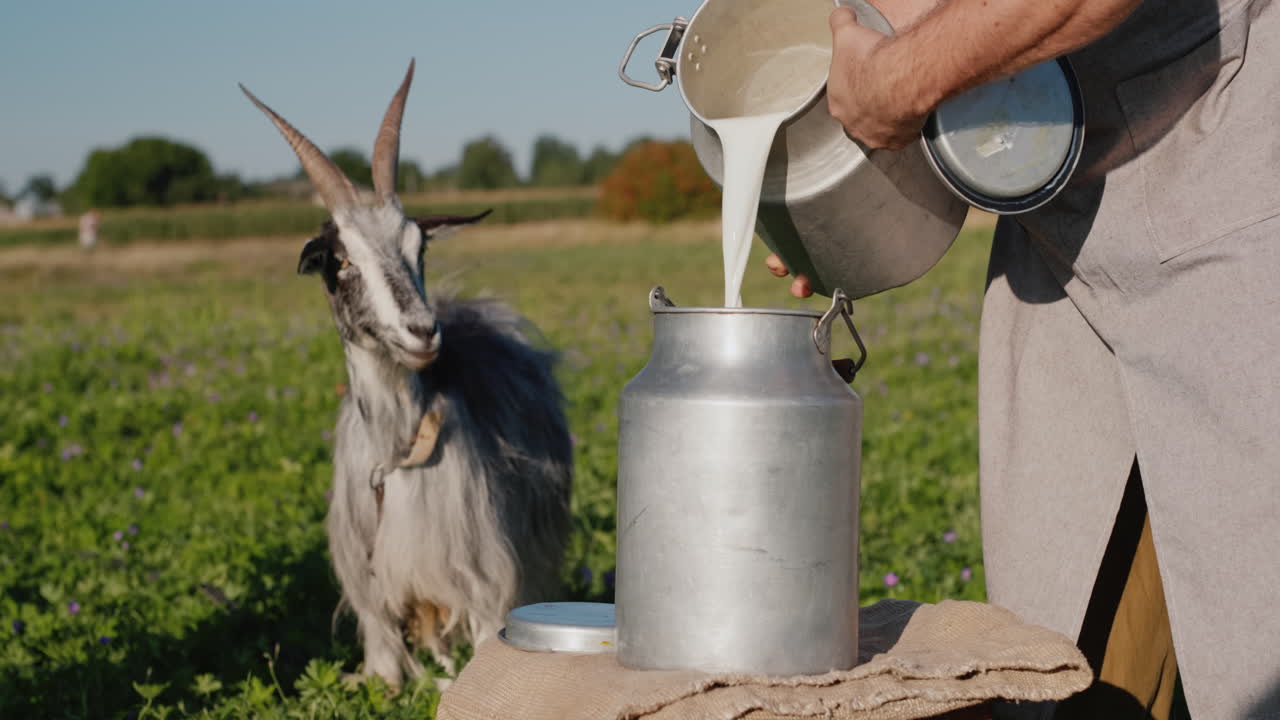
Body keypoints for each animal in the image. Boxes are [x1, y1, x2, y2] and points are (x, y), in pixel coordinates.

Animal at [240, 61, 573, 687]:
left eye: (419, 249)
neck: (399, 453)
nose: (423, 331)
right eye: (341, 261)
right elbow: (386, 678)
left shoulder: (487, 576)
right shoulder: (372, 596)